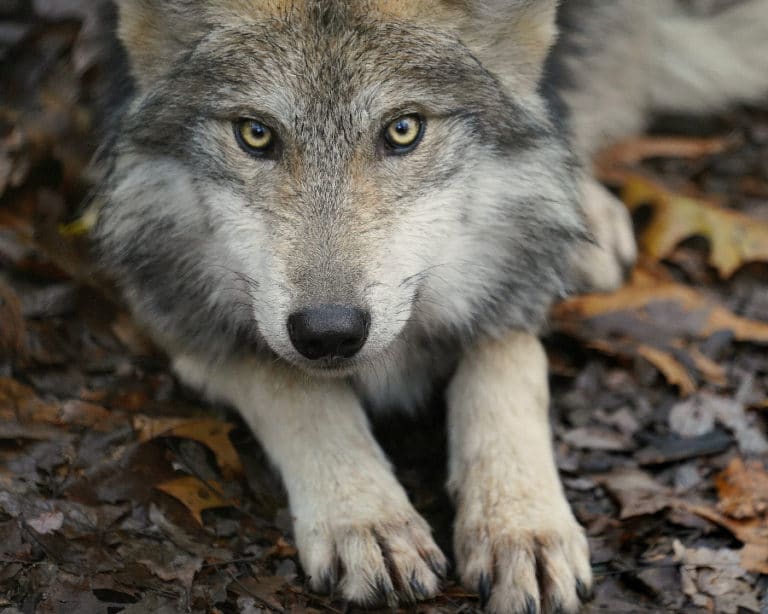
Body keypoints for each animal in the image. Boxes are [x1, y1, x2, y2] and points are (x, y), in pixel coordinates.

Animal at [91, 1, 768, 612]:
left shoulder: (509, 284)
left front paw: (520, 525)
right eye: (255, 134)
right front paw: (365, 521)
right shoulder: (176, 304)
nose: (330, 333)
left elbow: (510, 366)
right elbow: (293, 385)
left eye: (404, 129)